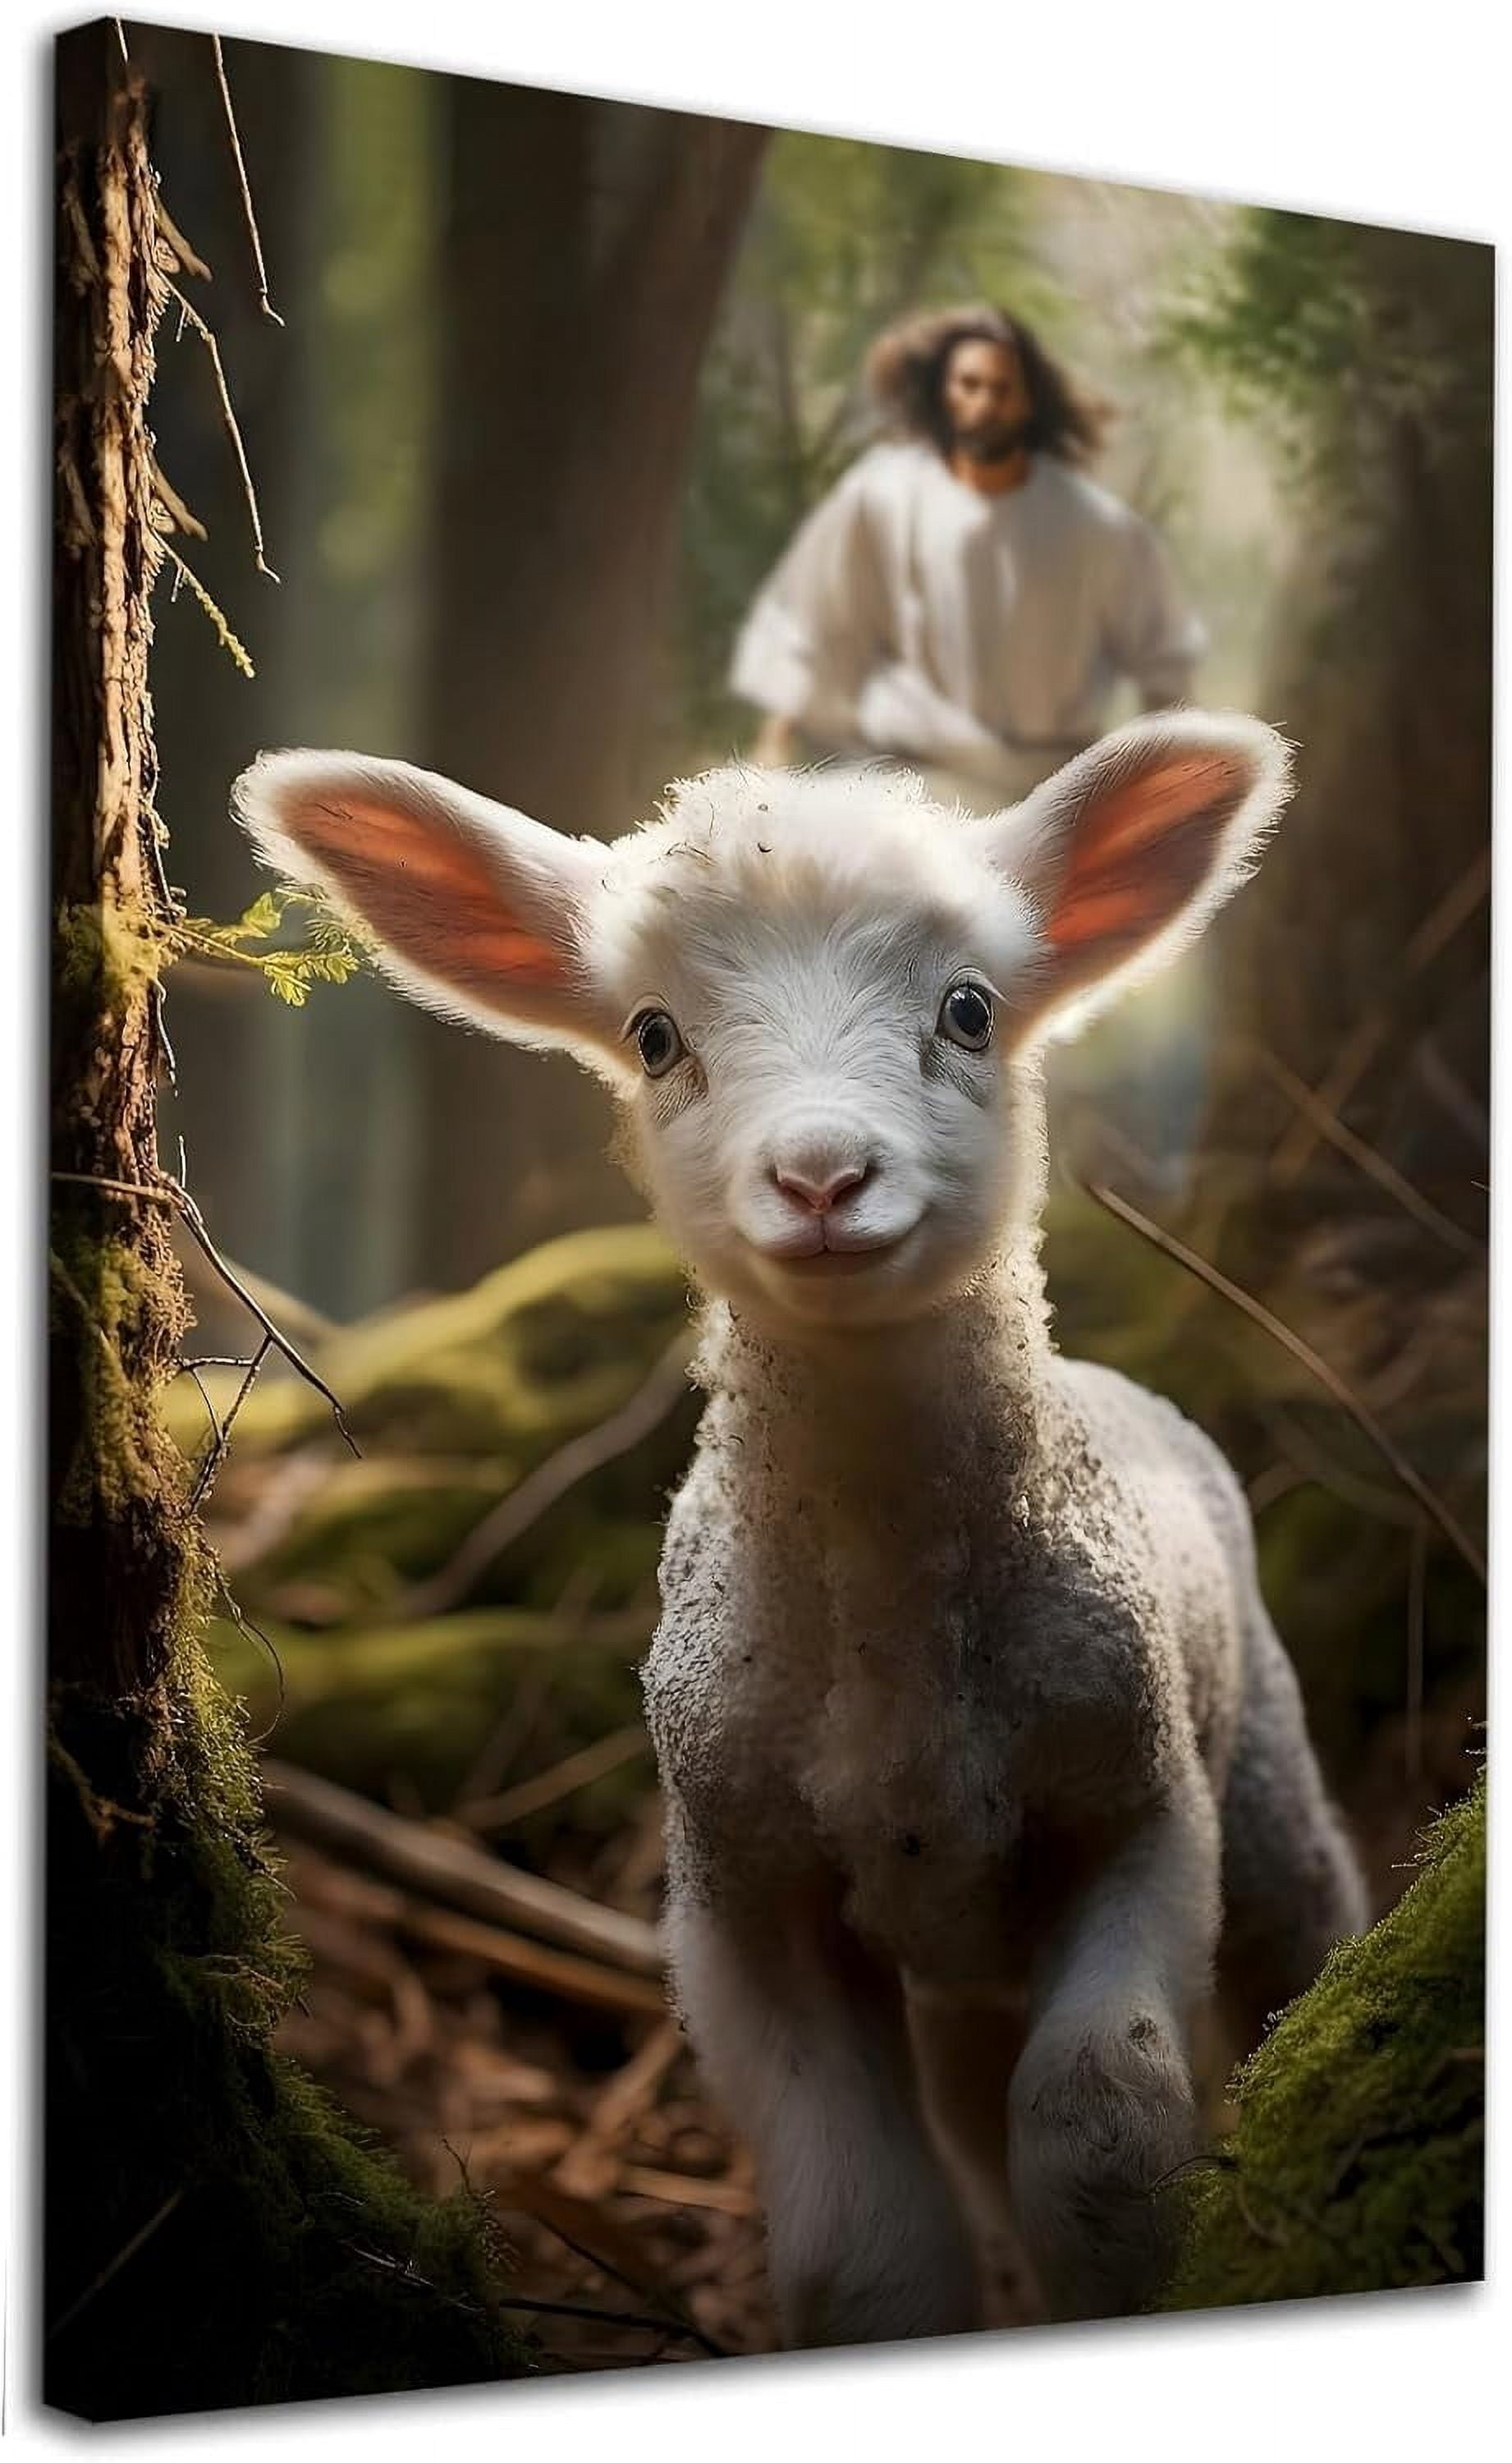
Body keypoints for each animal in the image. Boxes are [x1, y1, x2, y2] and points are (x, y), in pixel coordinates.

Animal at [233, 711, 1369, 2347]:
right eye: (653, 1035)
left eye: (967, 1010)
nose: (822, 1177)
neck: (897, 1676)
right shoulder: (738, 1890)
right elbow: (860, 2240)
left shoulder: (1139, 1807)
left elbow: (1100, 2122)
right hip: (964, 1951)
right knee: (968, 2101)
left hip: (1260, 1759)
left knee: (1304, 1928)